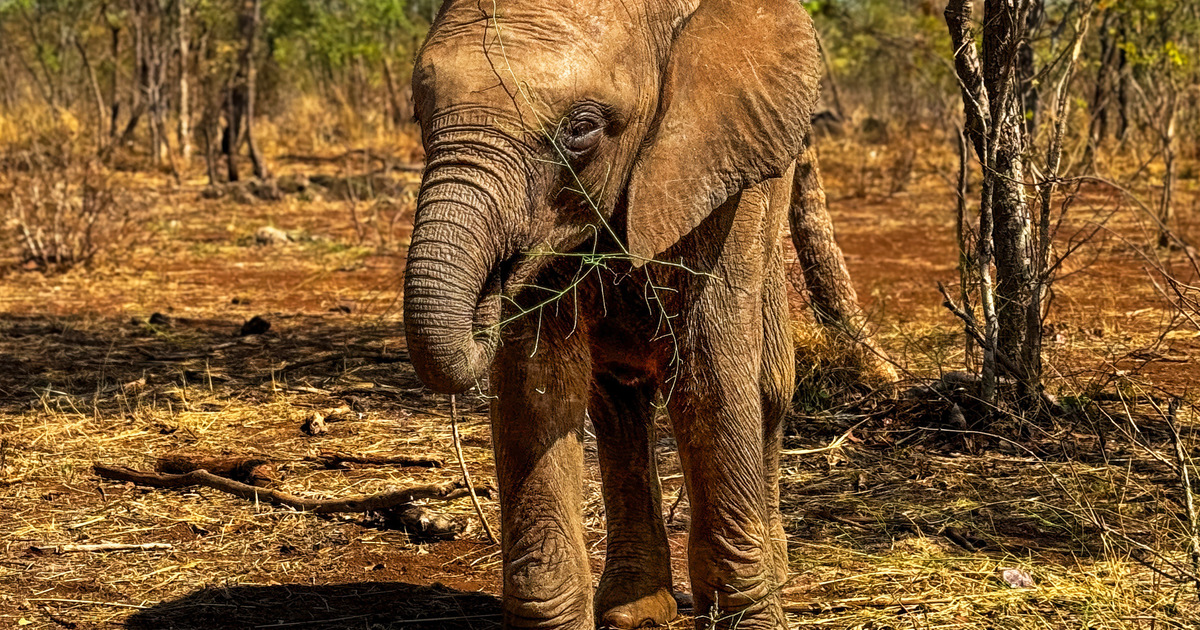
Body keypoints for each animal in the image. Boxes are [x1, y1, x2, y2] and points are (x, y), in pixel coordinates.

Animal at [401, 0, 849, 628]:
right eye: (420, 116)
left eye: (581, 128)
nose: (493, 282)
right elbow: (537, 383)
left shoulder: (716, 170)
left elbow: (710, 375)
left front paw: (753, 619)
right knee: (617, 399)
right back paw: (636, 609)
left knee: (767, 383)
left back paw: (775, 569)